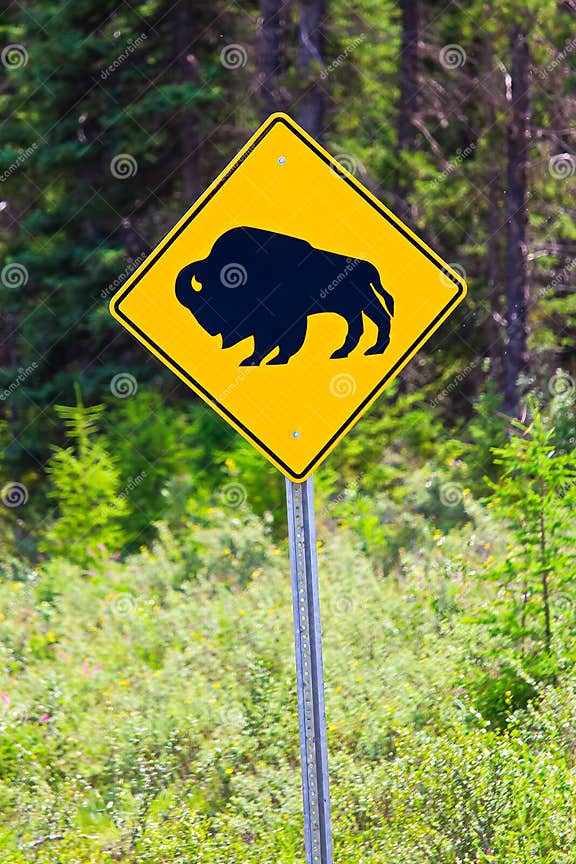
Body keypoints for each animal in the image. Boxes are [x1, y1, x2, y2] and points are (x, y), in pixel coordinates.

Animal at [175, 226, 394, 366]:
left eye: (215, 293)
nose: (210, 325)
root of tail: (368, 267)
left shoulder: (280, 320)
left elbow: (274, 341)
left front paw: (254, 361)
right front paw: (275, 361)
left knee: (377, 320)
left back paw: (366, 350)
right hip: (354, 307)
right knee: (367, 323)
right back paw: (352, 352)